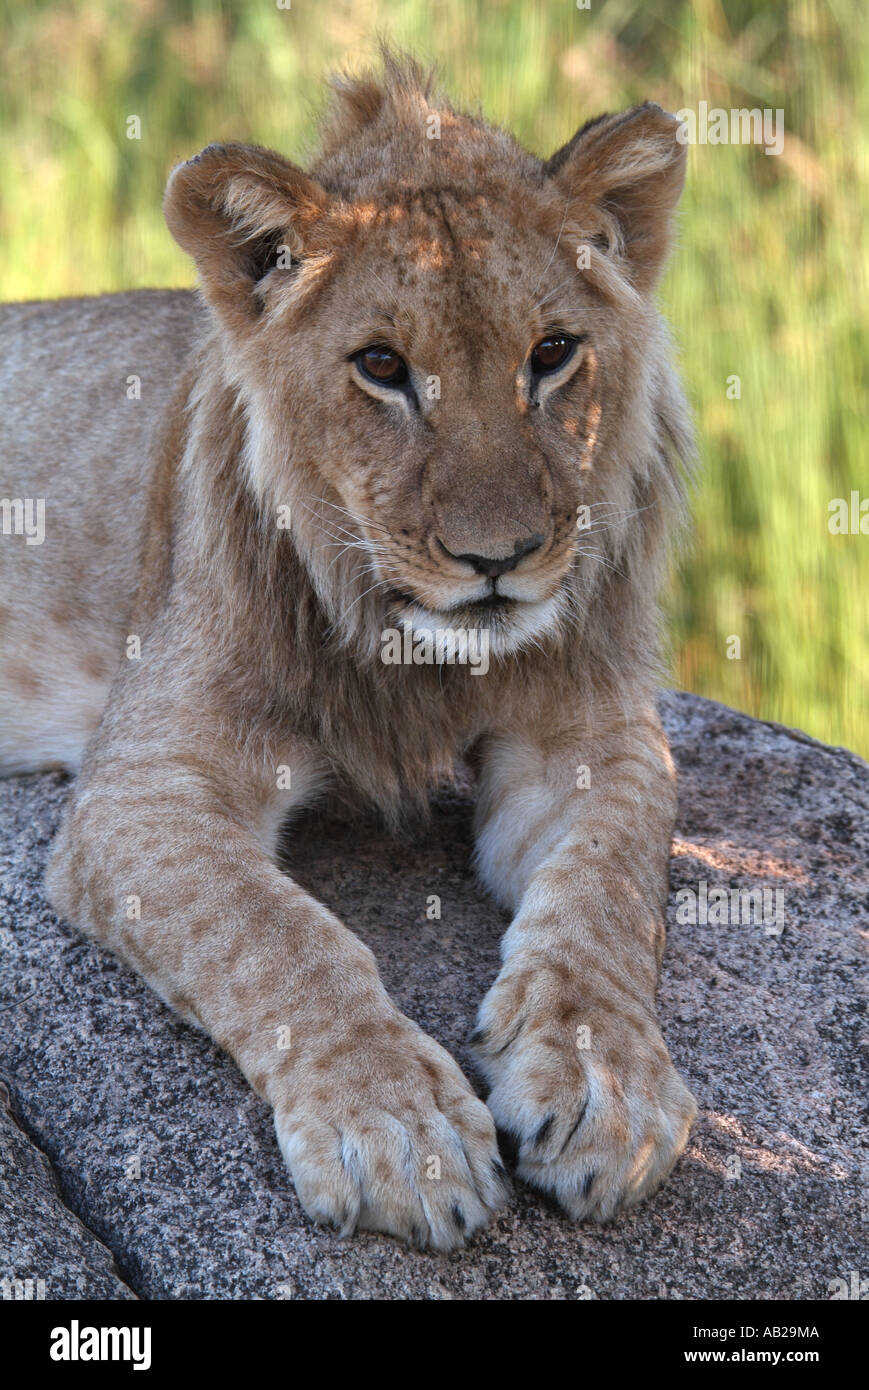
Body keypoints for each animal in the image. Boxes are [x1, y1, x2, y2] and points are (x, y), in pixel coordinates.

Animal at [0, 51, 697, 1250]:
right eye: (380, 366)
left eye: (552, 355)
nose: (498, 558)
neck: (414, 650)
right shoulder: (142, 788)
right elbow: (280, 937)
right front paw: (396, 1129)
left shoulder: (591, 736)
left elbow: (606, 896)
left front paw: (605, 1085)